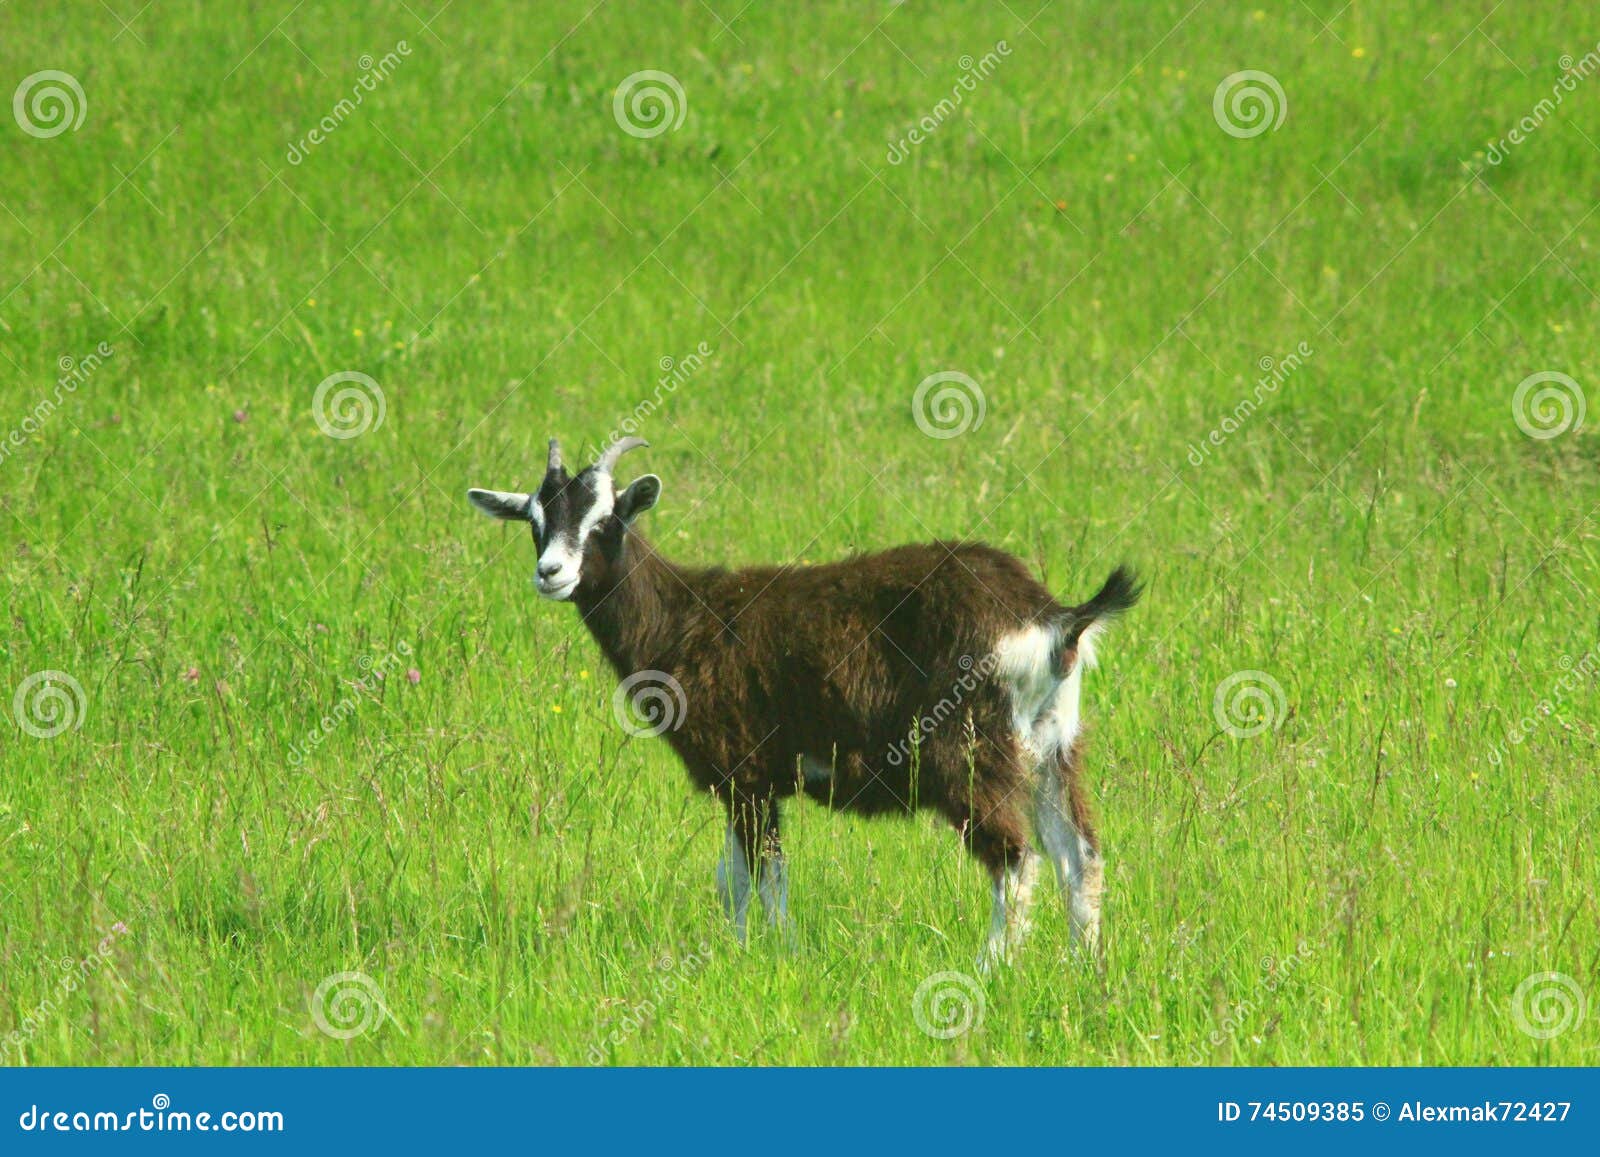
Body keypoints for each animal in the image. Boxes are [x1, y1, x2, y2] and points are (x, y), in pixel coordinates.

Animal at [468, 436, 1140, 965]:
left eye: (605, 521)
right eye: (534, 520)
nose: (551, 573)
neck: (683, 618)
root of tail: (1054, 618)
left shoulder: (746, 772)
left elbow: (765, 880)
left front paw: (776, 956)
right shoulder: (747, 783)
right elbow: (733, 882)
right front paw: (737, 955)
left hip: (972, 752)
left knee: (1015, 858)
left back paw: (989, 968)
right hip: (1052, 745)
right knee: (1079, 855)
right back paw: (1084, 969)